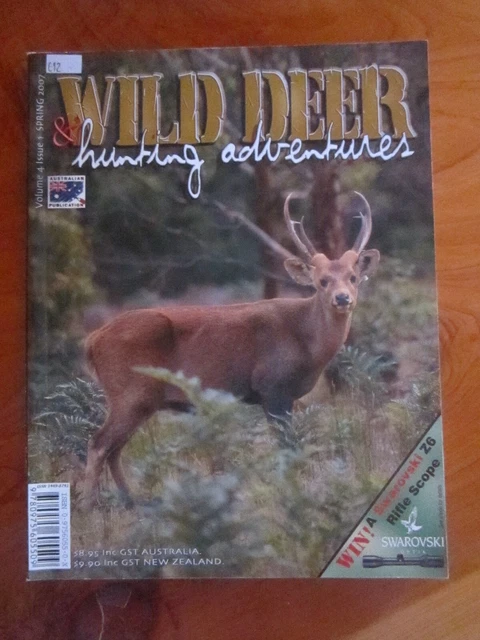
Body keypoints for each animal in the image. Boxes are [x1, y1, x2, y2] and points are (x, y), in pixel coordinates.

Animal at [81, 193, 380, 509]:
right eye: (322, 281)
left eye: (353, 277)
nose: (342, 298)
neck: (307, 345)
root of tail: (93, 340)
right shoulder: (272, 387)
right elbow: (286, 446)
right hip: (130, 392)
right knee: (99, 443)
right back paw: (89, 506)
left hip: (136, 399)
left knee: (113, 448)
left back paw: (130, 501)